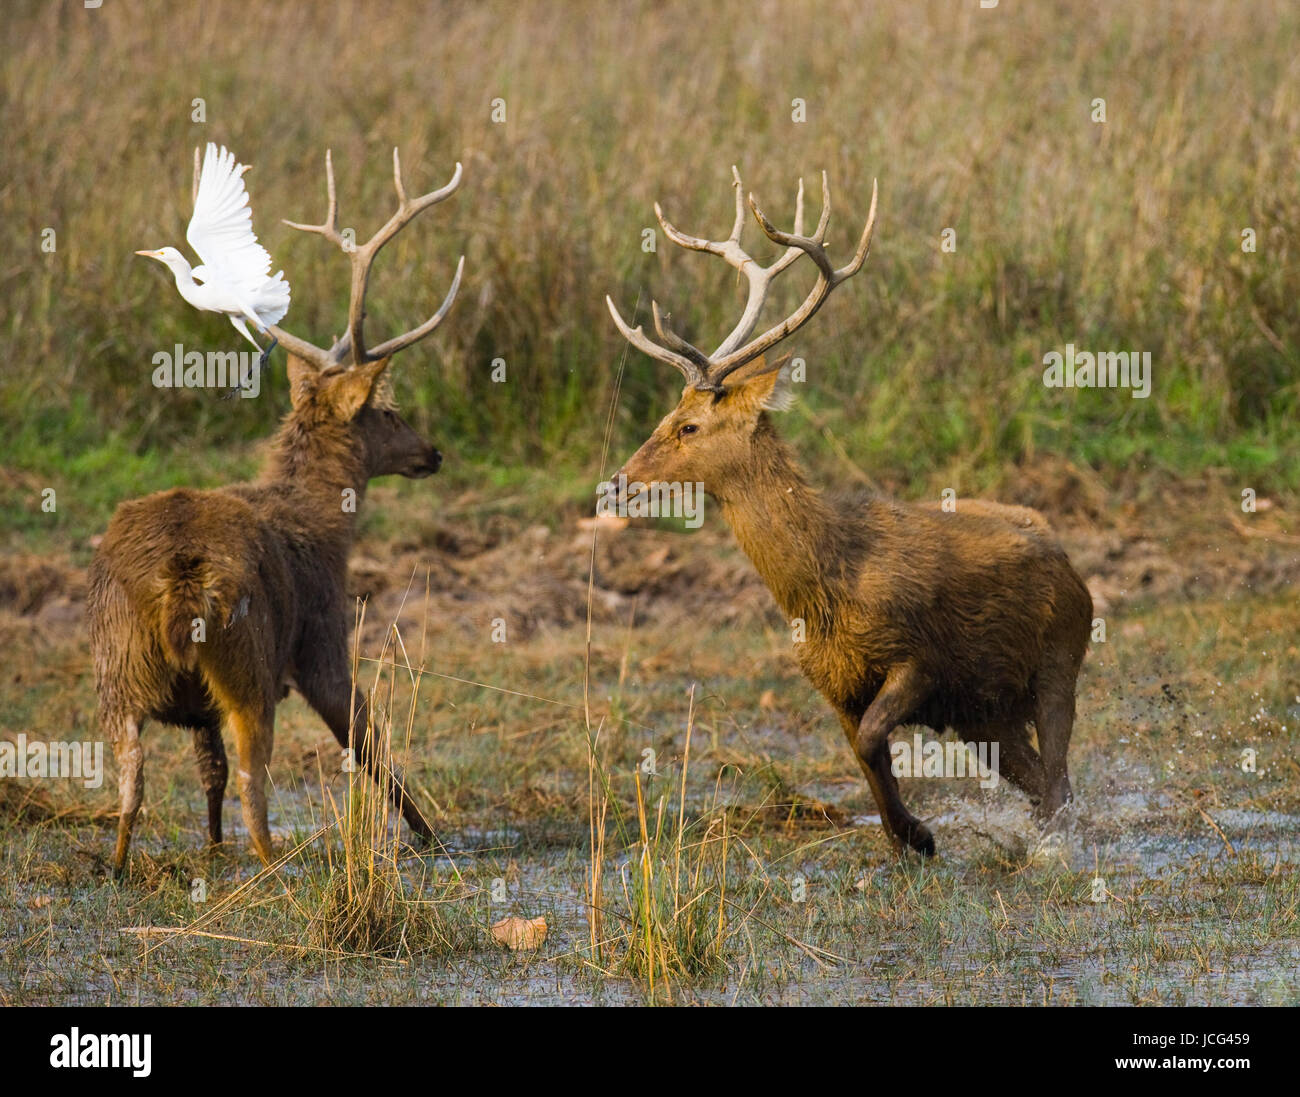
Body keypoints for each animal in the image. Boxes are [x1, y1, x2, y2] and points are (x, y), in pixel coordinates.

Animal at [89, 147, 464, 874]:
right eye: (389, 411)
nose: (432, 452)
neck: (323, 526)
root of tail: (180, 586)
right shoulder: (323, 638)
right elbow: (369, 743)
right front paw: (431, 835)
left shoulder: (198, 707)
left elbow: (206, 774)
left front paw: (209, 847)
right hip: (250, 663)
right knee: (254, 782)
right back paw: (272, 864)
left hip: (115, 666)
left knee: (134, 774)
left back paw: (119, 862)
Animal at [605, 167, 1092, 857]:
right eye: (667, 416)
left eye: (689, 425)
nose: (619, 483)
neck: (822, 588)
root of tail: (1069, 560)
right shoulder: (831, 682)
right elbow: (864, 756)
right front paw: (906, 835)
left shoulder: (921, 655)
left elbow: (871, 741)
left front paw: (918, 833)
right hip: (986, 709)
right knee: (1039, 777)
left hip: (1060, 655)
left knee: (1058, 778)